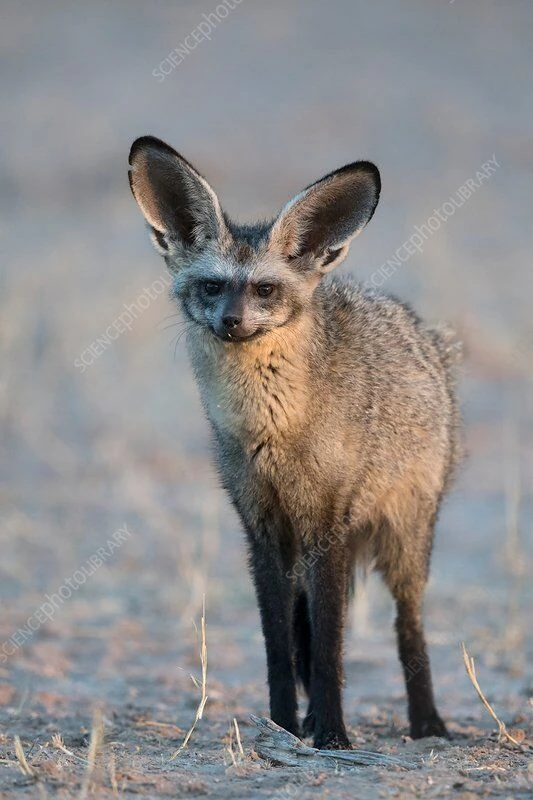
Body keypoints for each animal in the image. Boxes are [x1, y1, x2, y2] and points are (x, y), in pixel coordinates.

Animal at [128, 136, 461, 750]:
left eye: (264, 289)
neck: (272, 433)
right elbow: (280, 648)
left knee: (410, 628)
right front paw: (283, 725)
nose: (232, 322)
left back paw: (427, 721)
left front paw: (331, 734)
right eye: (212, 287)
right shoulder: (262, 527)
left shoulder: (326, 524)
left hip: (406, 540)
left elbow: (329, 648)